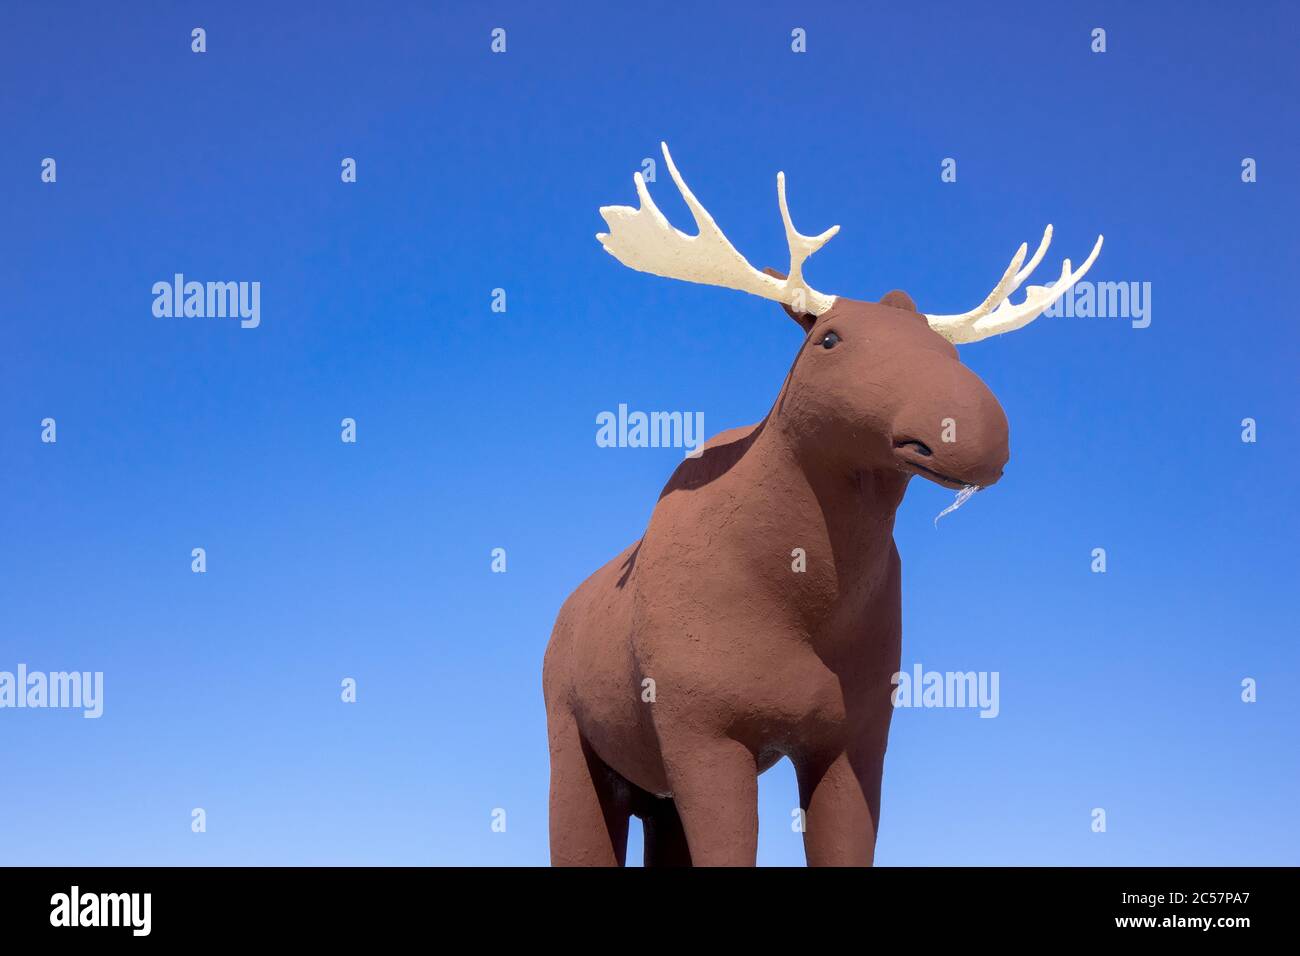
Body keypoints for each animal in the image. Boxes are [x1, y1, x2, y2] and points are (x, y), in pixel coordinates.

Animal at [543, 143, 1102, 866]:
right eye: (828, 339)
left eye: (946, 349)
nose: (979, 429)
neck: (806, 591)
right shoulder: (703, 731)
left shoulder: (855, 737)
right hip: (576, 748)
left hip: (654, 789)